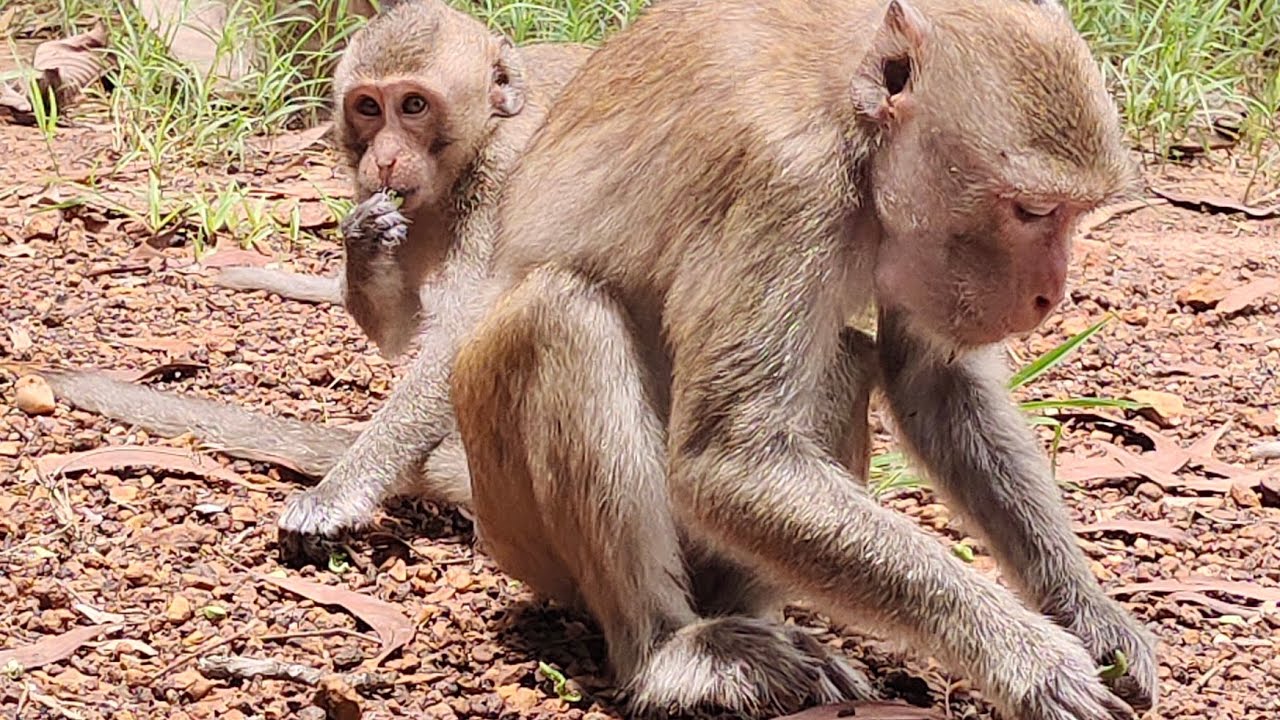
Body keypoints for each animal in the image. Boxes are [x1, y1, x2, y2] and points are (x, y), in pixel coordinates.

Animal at [435, 0, 1161, 717]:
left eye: (1073, 213)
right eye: (1031, 210)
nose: (1048, 294)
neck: (853, 122)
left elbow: (933, 383)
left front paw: (1087, 613)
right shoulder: (787, 181)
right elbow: (729, 462)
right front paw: (1026, 658)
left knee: (841, 358)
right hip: (518, 523)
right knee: (568, 314)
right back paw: (669, 652)